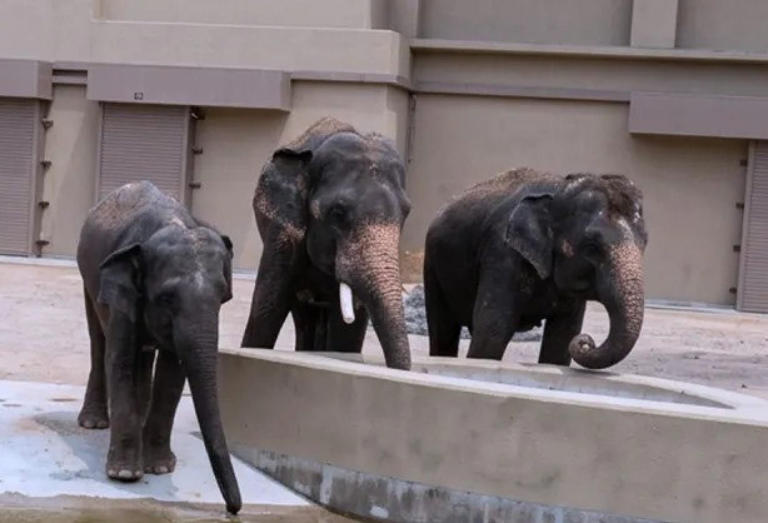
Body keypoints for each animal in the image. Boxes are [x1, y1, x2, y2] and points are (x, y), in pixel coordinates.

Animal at [76, 181, 241, 514]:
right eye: (167, 297)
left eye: (223, 296)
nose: (233, 509)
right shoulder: (122, 295)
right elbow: (120, 360)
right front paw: (125, 474)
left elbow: (172, 373)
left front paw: (161, 469)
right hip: (88, 279)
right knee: (99, 343)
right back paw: (93, 423)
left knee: (143, 356)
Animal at [424, 168, 647, 369]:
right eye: (592, 247)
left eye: (644, 243)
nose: (586, 342)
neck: (560, 189)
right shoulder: (502, 254)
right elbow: (493, 329)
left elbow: (562, 337)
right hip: (433, 267)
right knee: (443, 330)